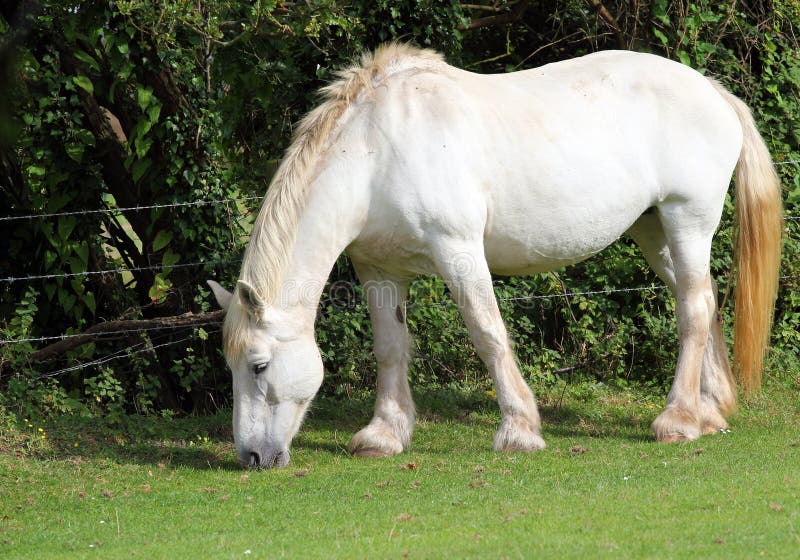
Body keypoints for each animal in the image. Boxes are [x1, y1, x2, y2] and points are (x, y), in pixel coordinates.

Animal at [208, 43, 782, 469]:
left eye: (259, 365)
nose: (251, 457)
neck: (376, 153)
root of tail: (713, 91)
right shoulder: (381, 269)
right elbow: (391, 347)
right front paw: (384, 435)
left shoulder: (458, 251)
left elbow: (487, 333)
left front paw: (519, 429)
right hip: (653, 230)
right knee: (703, 299)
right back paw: (710, 412)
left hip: (688, 220)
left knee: (692, 310)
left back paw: (678, 420)